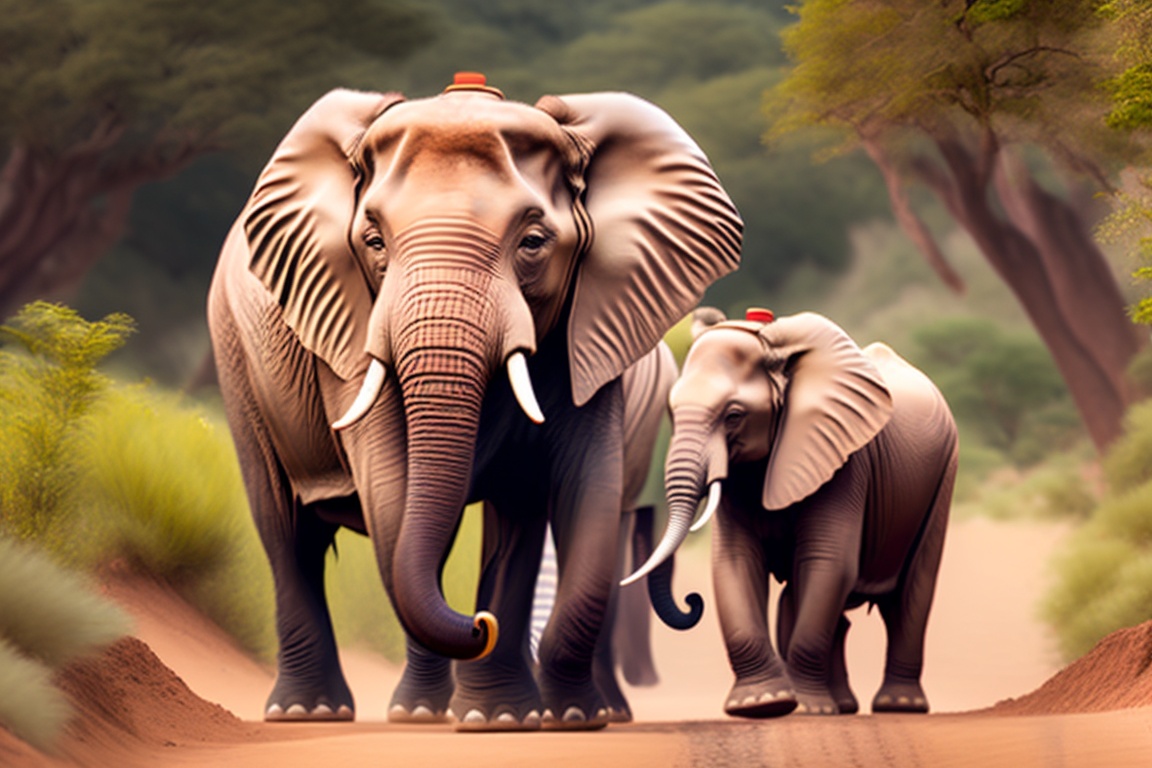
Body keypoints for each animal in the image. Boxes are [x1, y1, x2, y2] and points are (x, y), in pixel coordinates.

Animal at [207, 73, 741, 731]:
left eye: (534, 242)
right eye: (373, 241)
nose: (477, 624)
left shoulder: (591, 320)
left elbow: (574, 490)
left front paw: (539, 720)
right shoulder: (346, 320)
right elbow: (392, 485)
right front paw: (514, 710)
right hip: (236, 354)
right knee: (286, 529)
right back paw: (320, 712)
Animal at [626, 309, 957, 717]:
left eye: (733, 415)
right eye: (671, 412)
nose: (692, 600)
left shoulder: (846, 460)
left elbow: (828, 561)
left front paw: (802, 710)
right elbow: (735, 562)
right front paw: (762, 705)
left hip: (944, 472)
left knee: (912, 592)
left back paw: (897, 706)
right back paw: (842, 706)